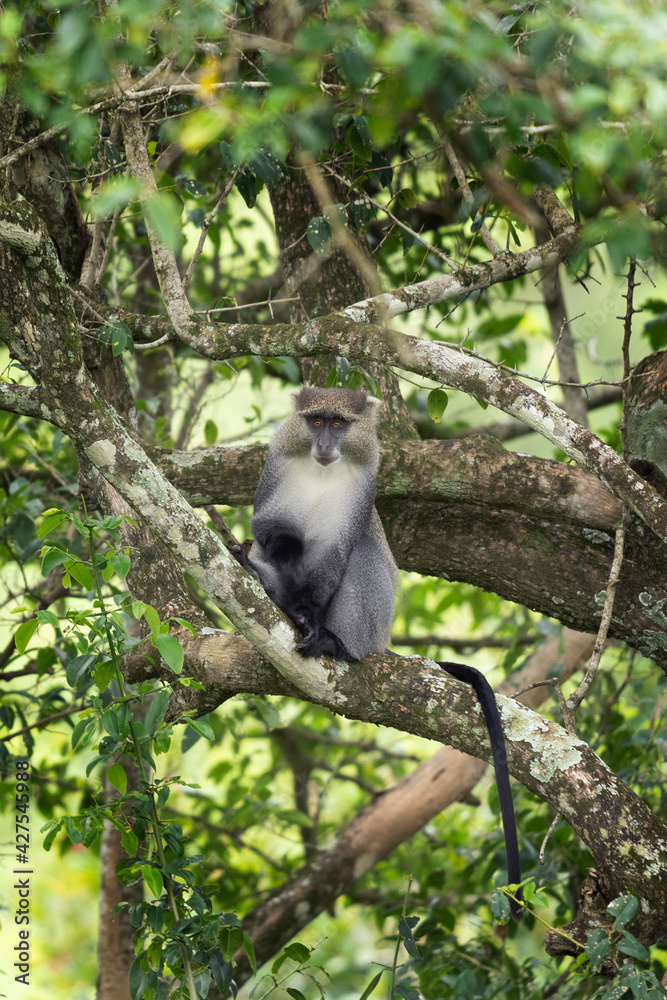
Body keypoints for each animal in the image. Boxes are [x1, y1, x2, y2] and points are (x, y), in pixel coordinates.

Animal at [247, 386, 522, 917]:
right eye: (315, 421)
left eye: (339, 424)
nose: (324, 445)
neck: (321, 473)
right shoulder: (274, 470)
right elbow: (265, 531)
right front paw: (277, 556)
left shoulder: (359, 496)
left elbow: (337, 558)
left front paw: (309, 617)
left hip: (371, 623)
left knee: (363, 556)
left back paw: (332, 641)